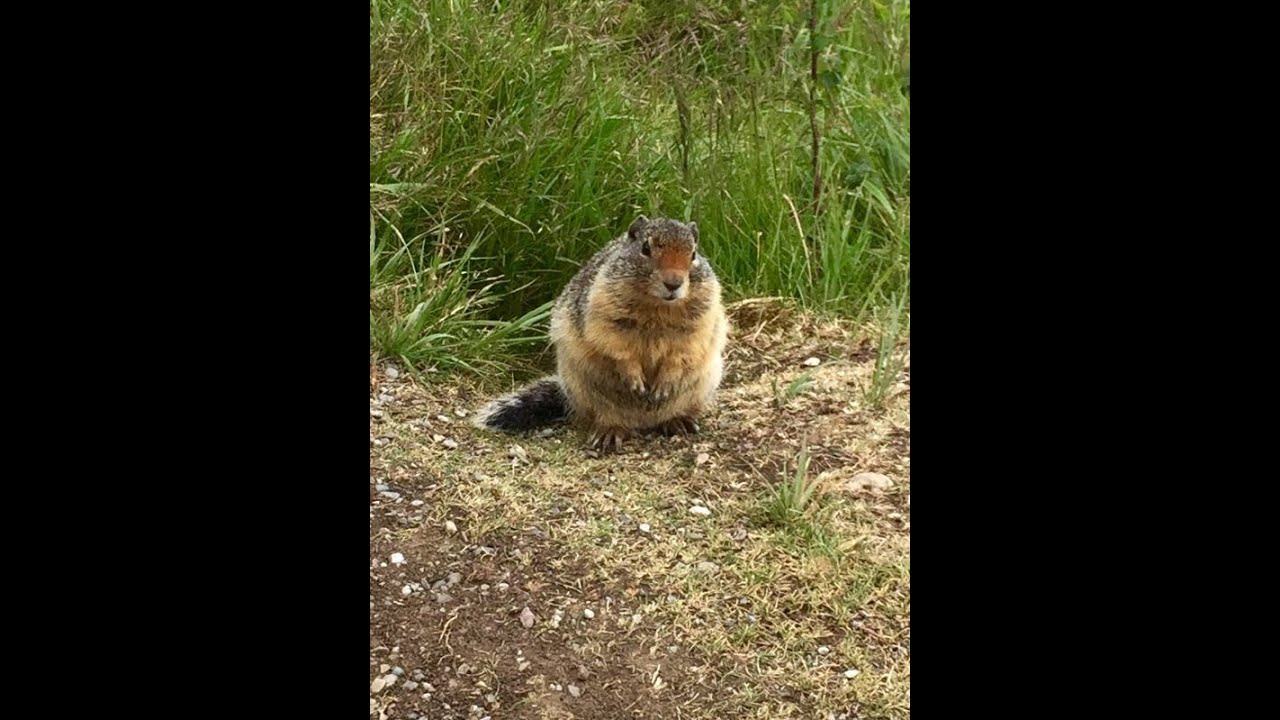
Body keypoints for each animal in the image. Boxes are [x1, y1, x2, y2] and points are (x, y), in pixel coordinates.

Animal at [474, 216, 728, 453]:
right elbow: (616, 347)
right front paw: (635, 381)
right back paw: (609, 434)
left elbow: (686, 350)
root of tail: (643, 422)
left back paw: (678, 422)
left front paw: (664, 383)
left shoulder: (702, 320)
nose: (673, 283)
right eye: (646, 248)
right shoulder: (602, 310)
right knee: (606, 419)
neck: (658, 306)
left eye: (693, 254)